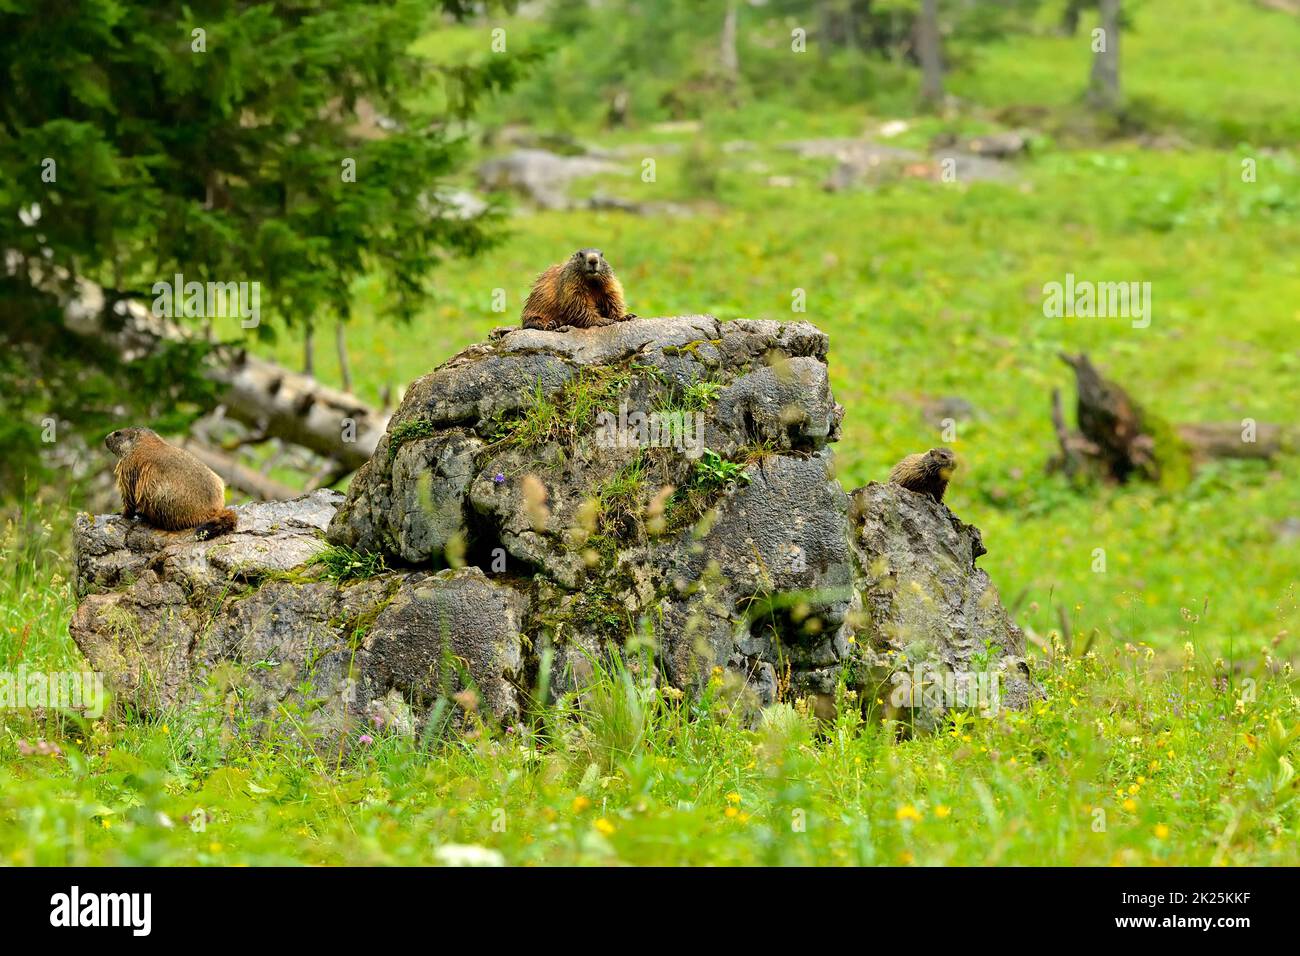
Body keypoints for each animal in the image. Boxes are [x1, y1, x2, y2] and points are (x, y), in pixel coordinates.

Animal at [104, 428, 238, 539]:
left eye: (118, 433)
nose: (105, 438)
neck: (141, 442)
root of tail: (215, 509)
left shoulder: (127, 465)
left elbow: (128, 493)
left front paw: (121, 514)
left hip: (161, 497)